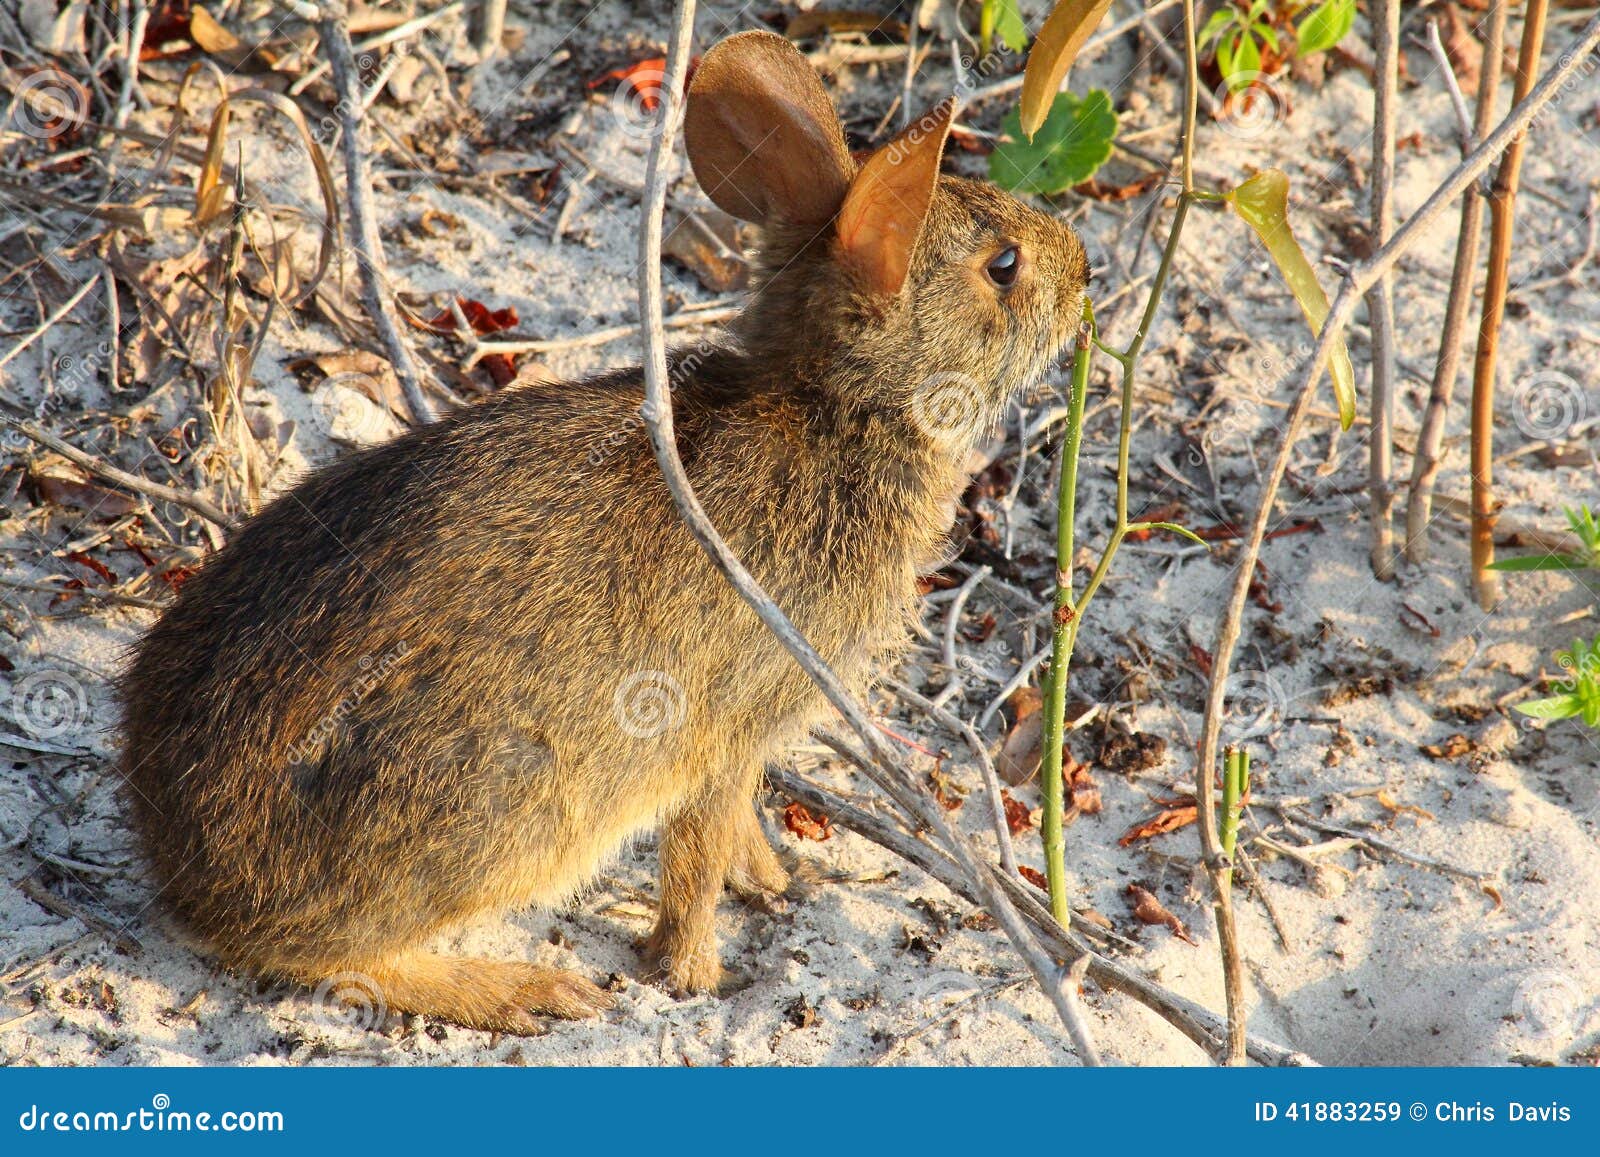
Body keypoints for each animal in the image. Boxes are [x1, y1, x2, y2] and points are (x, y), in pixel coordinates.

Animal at [118, 29, 1089, 1035]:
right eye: (1004, 266)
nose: (1085, 271)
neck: (835, 407)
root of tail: (190, 876)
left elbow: (736, 830)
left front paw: (784, 882)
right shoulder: (730, 723)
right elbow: (699, 851)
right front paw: (699, 973)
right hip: (502, 809)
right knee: (328, 957)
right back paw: (525, 989)